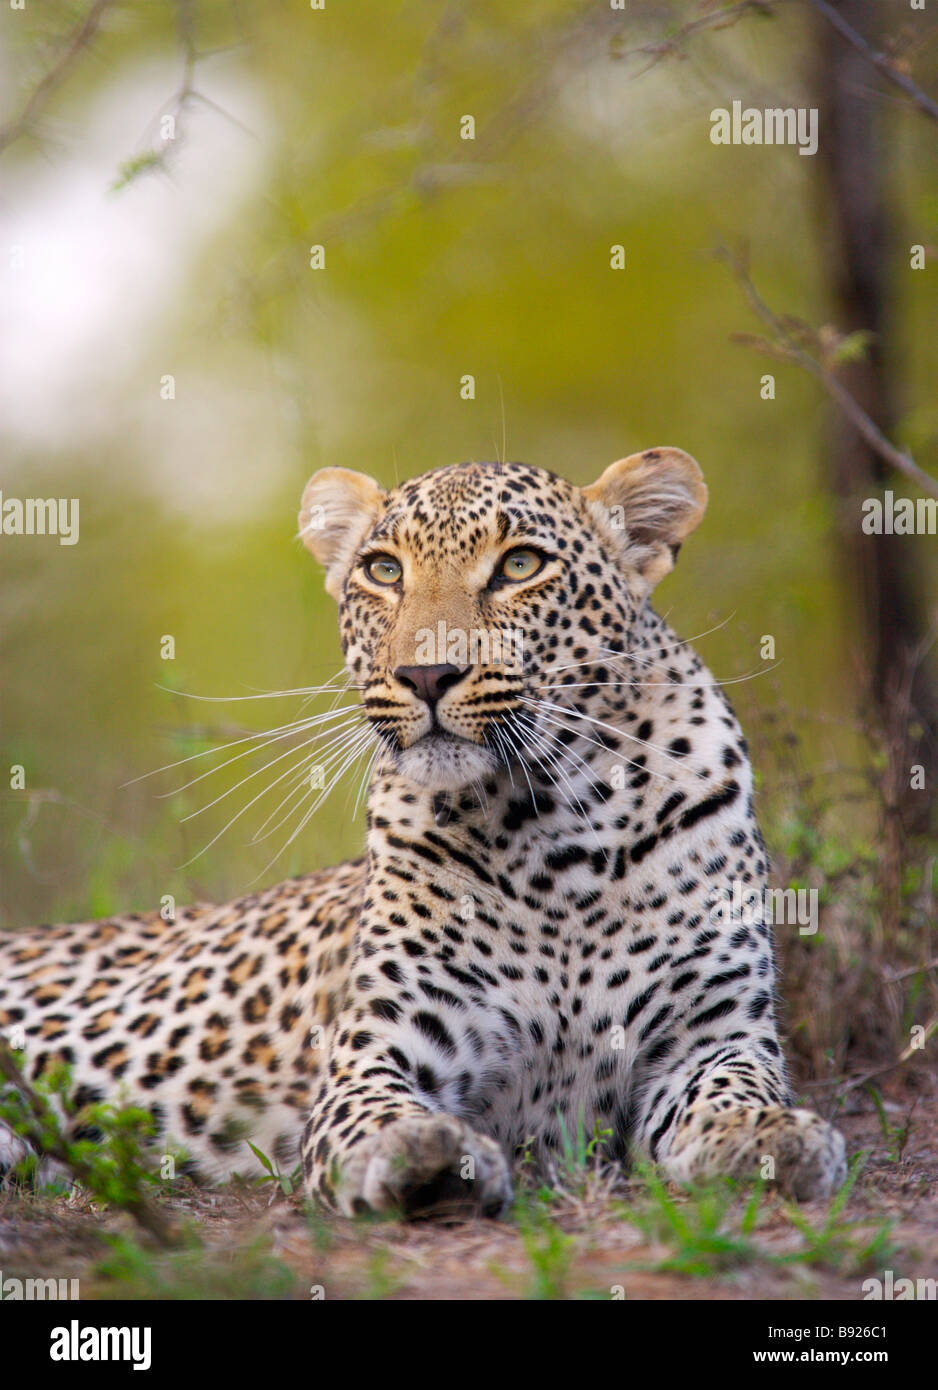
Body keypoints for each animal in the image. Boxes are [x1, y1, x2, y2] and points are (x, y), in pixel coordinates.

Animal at [0, 448, 847, 1217]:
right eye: (382, 571)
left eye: (521, 565)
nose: (426, 676)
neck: (558, 831)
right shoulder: (379, 1047)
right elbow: (379, 1113)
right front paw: (424, 1150)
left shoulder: (715, 1033)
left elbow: (738, 1090)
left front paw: (776, 1136)